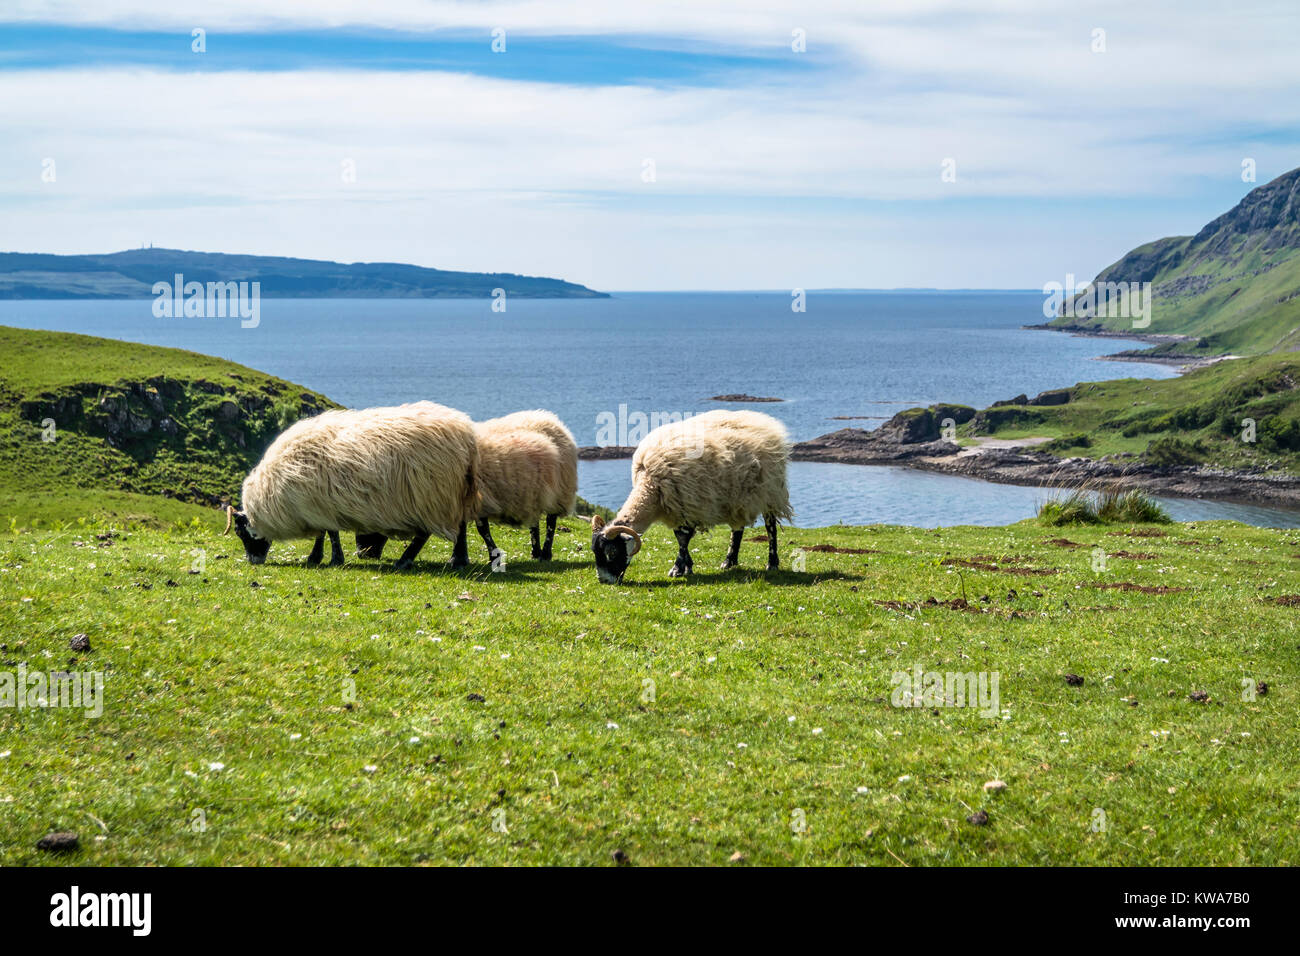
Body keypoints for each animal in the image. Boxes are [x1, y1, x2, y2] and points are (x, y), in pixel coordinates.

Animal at [225, 401, 480, 571]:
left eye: (240, 532)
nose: (253, 561)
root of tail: (466, 435)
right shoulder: (318, 506)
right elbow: (324, 533)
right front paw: (317, 557)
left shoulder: (319, 506)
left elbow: (330, 533)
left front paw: (331, 558)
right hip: (455, 492)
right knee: (461, 525)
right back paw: (458, 559)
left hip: (429, 495)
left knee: (425, 533)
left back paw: (405, 560)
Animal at [355, 409, 578, 566]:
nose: (361, 553)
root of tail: (551, 418)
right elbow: (470, 529)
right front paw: (466, 557)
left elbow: (479, 530)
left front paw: (477, 557)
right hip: (535, 494)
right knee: (534, 523)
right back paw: (535, 552)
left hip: (560, 490)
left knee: (551, 522)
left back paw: (545, 554)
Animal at [590, 409, 793, 584]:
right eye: (595, 552)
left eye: (612, 552)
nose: (604, 581)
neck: (651, 486)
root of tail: (761, 420)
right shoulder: (678, 510)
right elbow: (679, 538)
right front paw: (687, 567)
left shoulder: (687, 503)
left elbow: (683, 540)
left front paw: (677, 569)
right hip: (737, 496)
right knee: (738, 528)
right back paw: (729, 561)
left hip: (770, 492)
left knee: (770, 527)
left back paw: (772, 563)